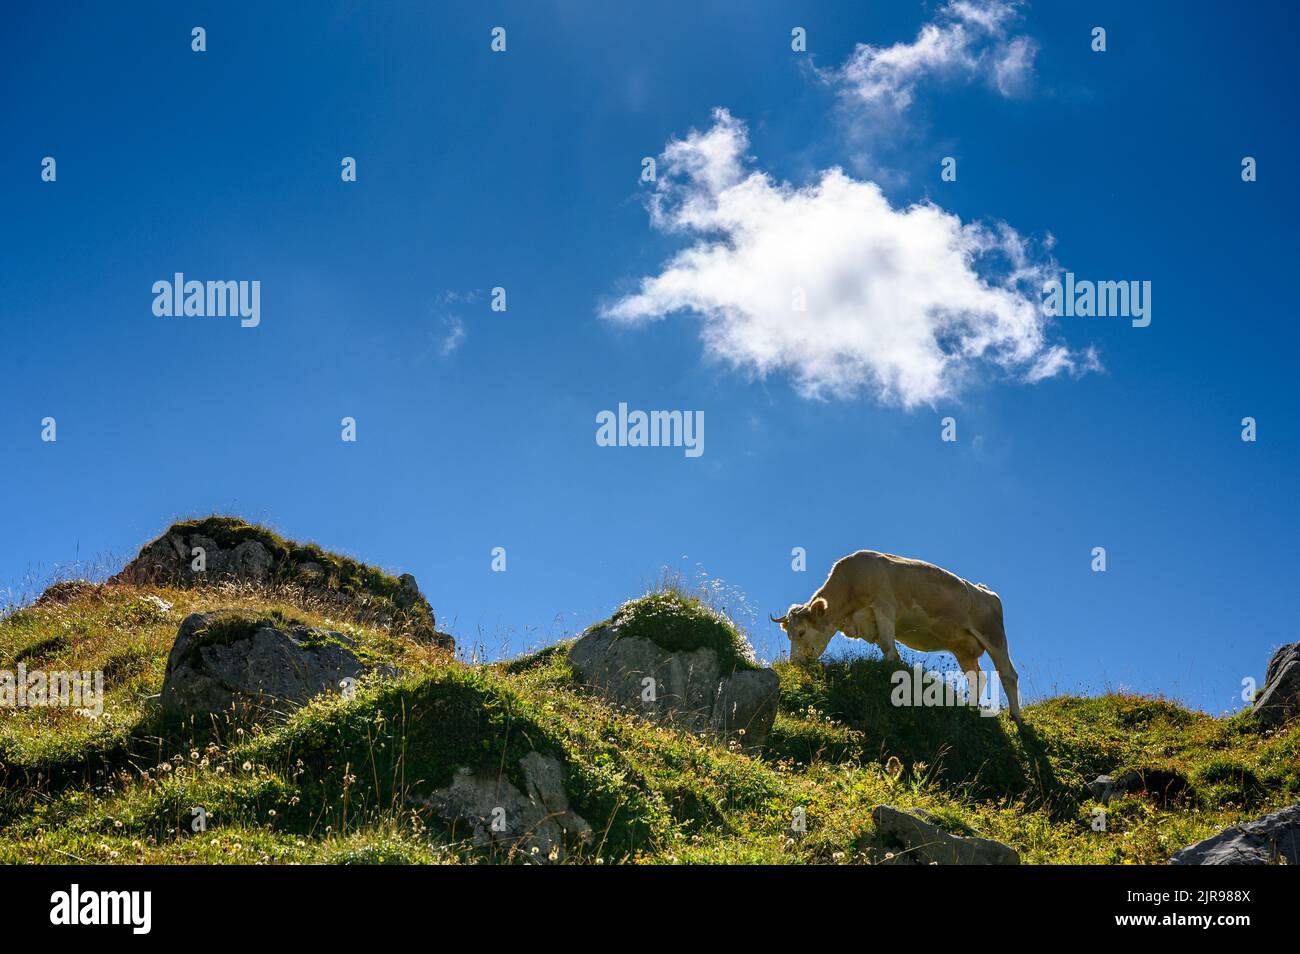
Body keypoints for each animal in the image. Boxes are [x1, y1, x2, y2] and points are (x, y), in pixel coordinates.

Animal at [771, 550, 1022, 722]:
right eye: (789, 635)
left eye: (802, 632)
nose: (794, 663)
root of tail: (985, 591)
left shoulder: (884, 608)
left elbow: (888, 647)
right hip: (964, 649)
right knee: (977, 678)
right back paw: (969, 709)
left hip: (994, 635)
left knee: (1008, 675)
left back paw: (1017, 718)